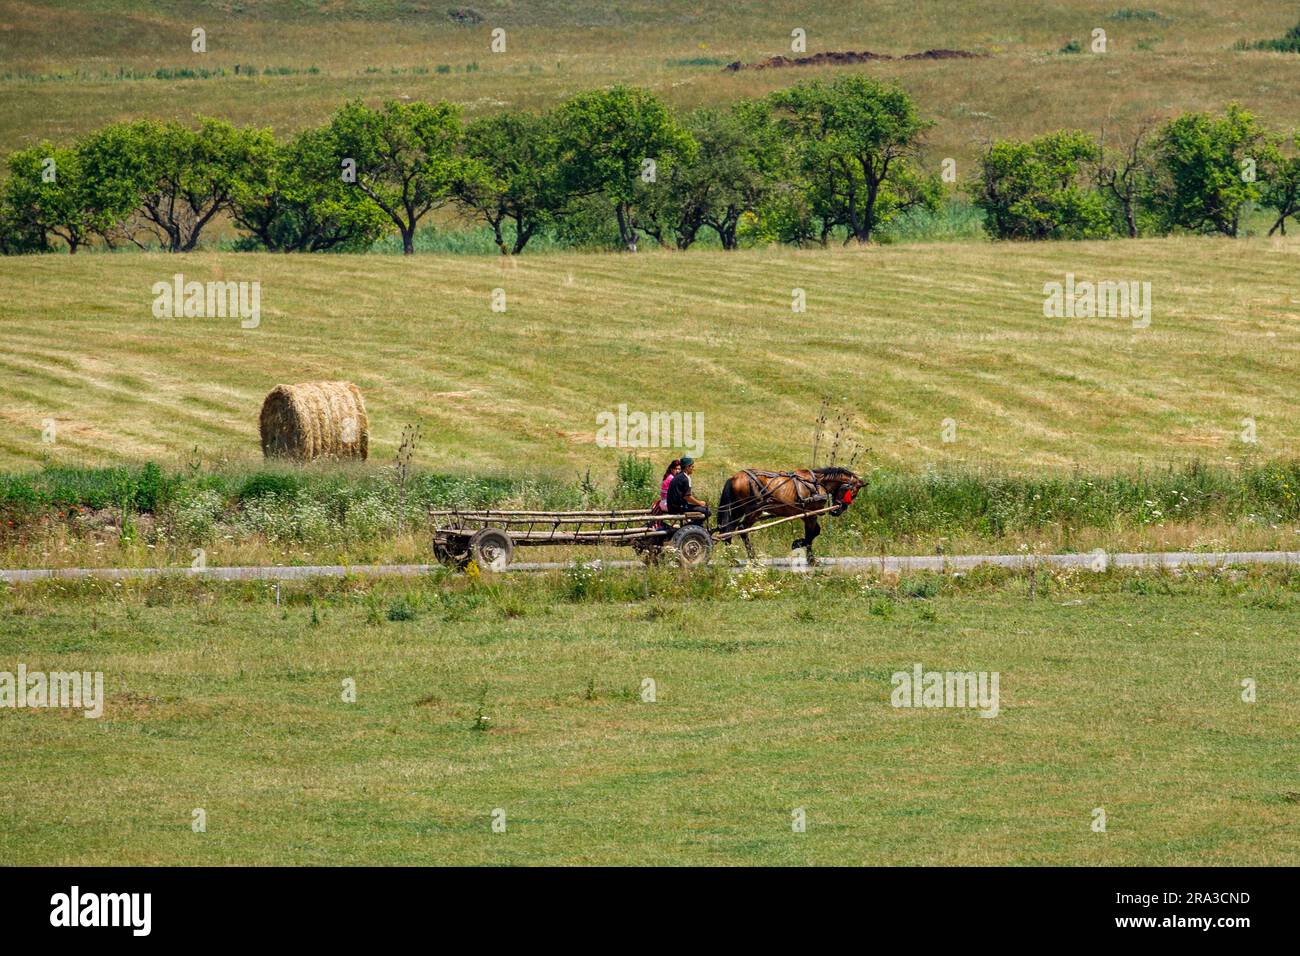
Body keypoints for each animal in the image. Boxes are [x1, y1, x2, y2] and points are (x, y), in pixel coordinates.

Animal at [716, 466, 864, 564]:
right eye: (852, 493)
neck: (817, 483)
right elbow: (810, 536)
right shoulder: (810, 514)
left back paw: (732, 557)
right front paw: (810, 558)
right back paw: (752, 558)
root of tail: (734, 478)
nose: (838, 511)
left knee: (728, 531)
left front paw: (797, 543)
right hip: (753, 510)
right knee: (742, 529)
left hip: (737, 510)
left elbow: (815, 532)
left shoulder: (806, 514)